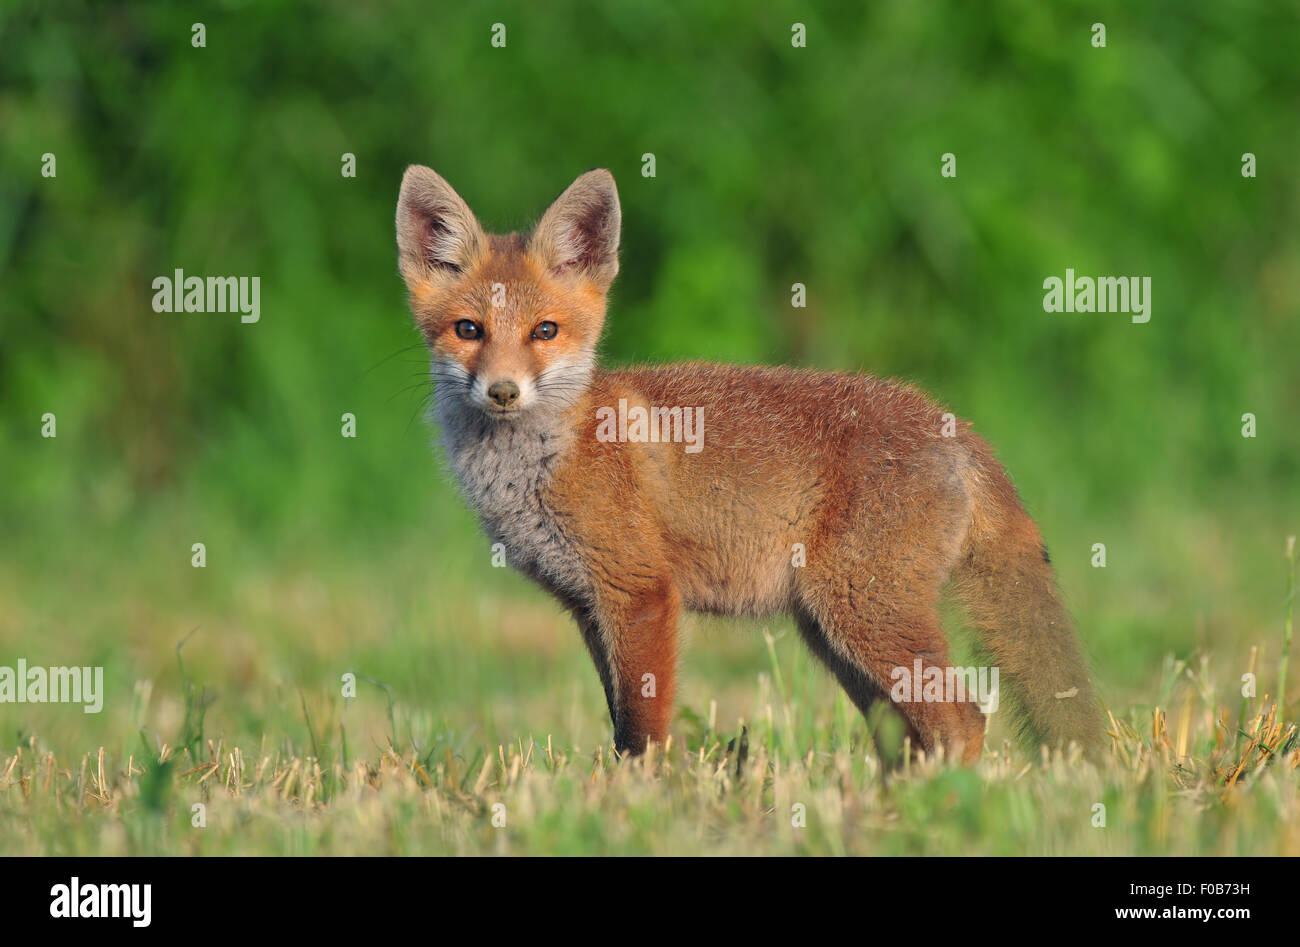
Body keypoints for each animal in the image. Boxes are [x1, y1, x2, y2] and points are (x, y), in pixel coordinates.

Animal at [394, 165, 1103, 764]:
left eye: (544, 331)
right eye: (468, 330)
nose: (503, 392)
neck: (545, 461)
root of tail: (951, 421)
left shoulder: (641, 595)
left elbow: (642, 730)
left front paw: (643, 797)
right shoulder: (589, 608)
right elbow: (618, 720)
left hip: (864, 615)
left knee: (964, 719)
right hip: (836, 634)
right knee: (906, 732)